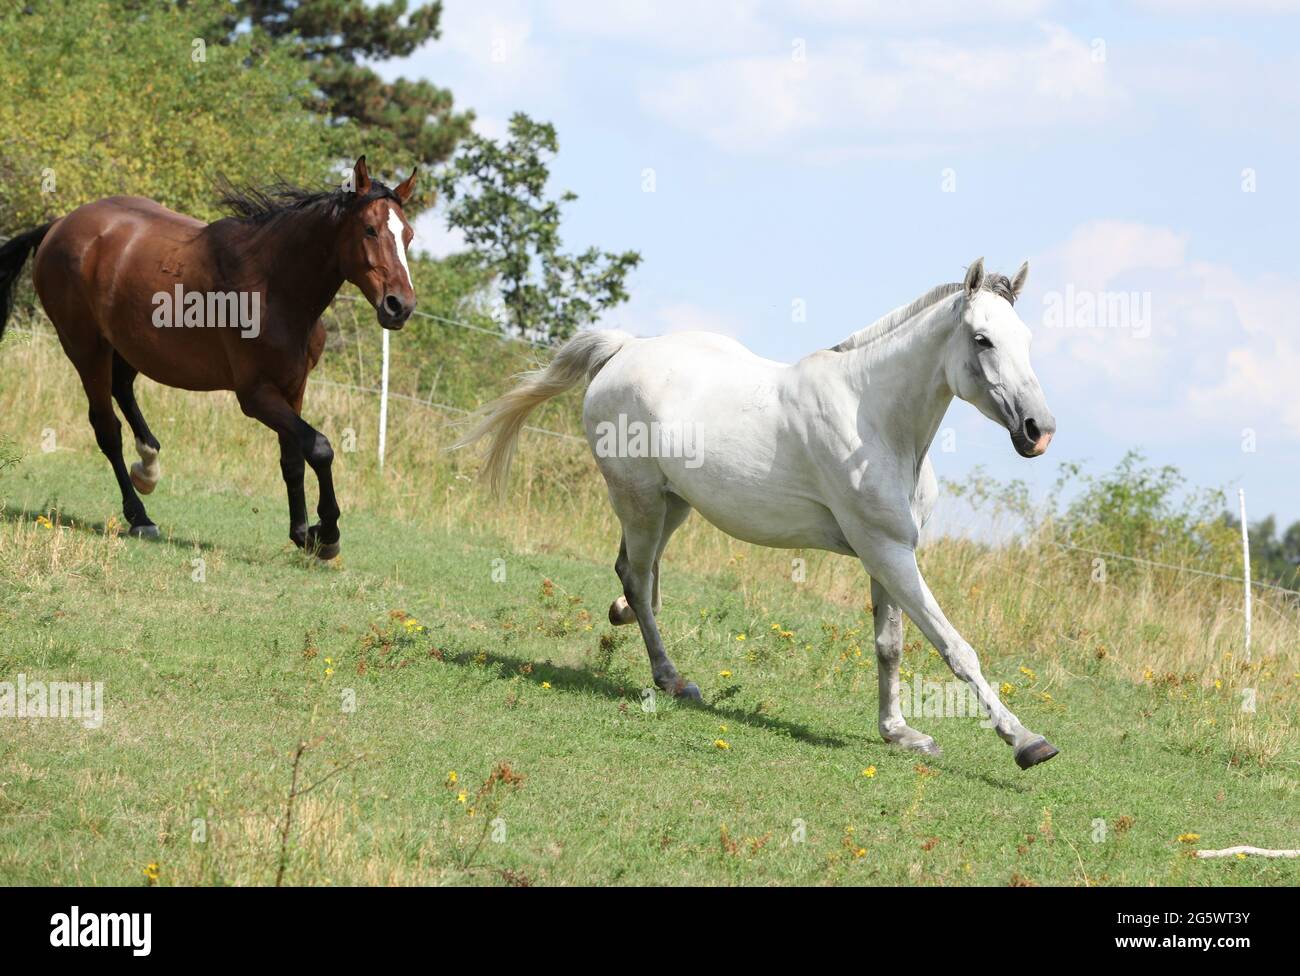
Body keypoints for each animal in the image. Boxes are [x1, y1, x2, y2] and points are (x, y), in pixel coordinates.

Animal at [0, 157, 417, 559]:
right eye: (369, 229)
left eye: (408, 235)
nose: (400, 306)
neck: (273, 286)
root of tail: (58, 226)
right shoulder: (255, 396)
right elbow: (319, 448)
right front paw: (325, 534)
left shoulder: (293, 386)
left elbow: (293, 459)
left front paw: (301, 533)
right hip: (85, 348)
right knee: (106, 428)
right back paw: (140, 516)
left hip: (126, 345)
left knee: (123, 390)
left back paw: (148, 466)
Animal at [458, 258, 1061, 770]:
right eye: (982, 339)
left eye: (1029, 340)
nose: (1039, 430)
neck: (873, 418)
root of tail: (623, 350)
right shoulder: (886, 551)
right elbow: (954, 647)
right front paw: (1027, 742)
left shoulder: (889, 553)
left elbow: (889, 646)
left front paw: (900, 733)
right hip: (641, 501)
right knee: (638, 578)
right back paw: (673, 680)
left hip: (673, 506)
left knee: (636, 576)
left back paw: (629, 625)